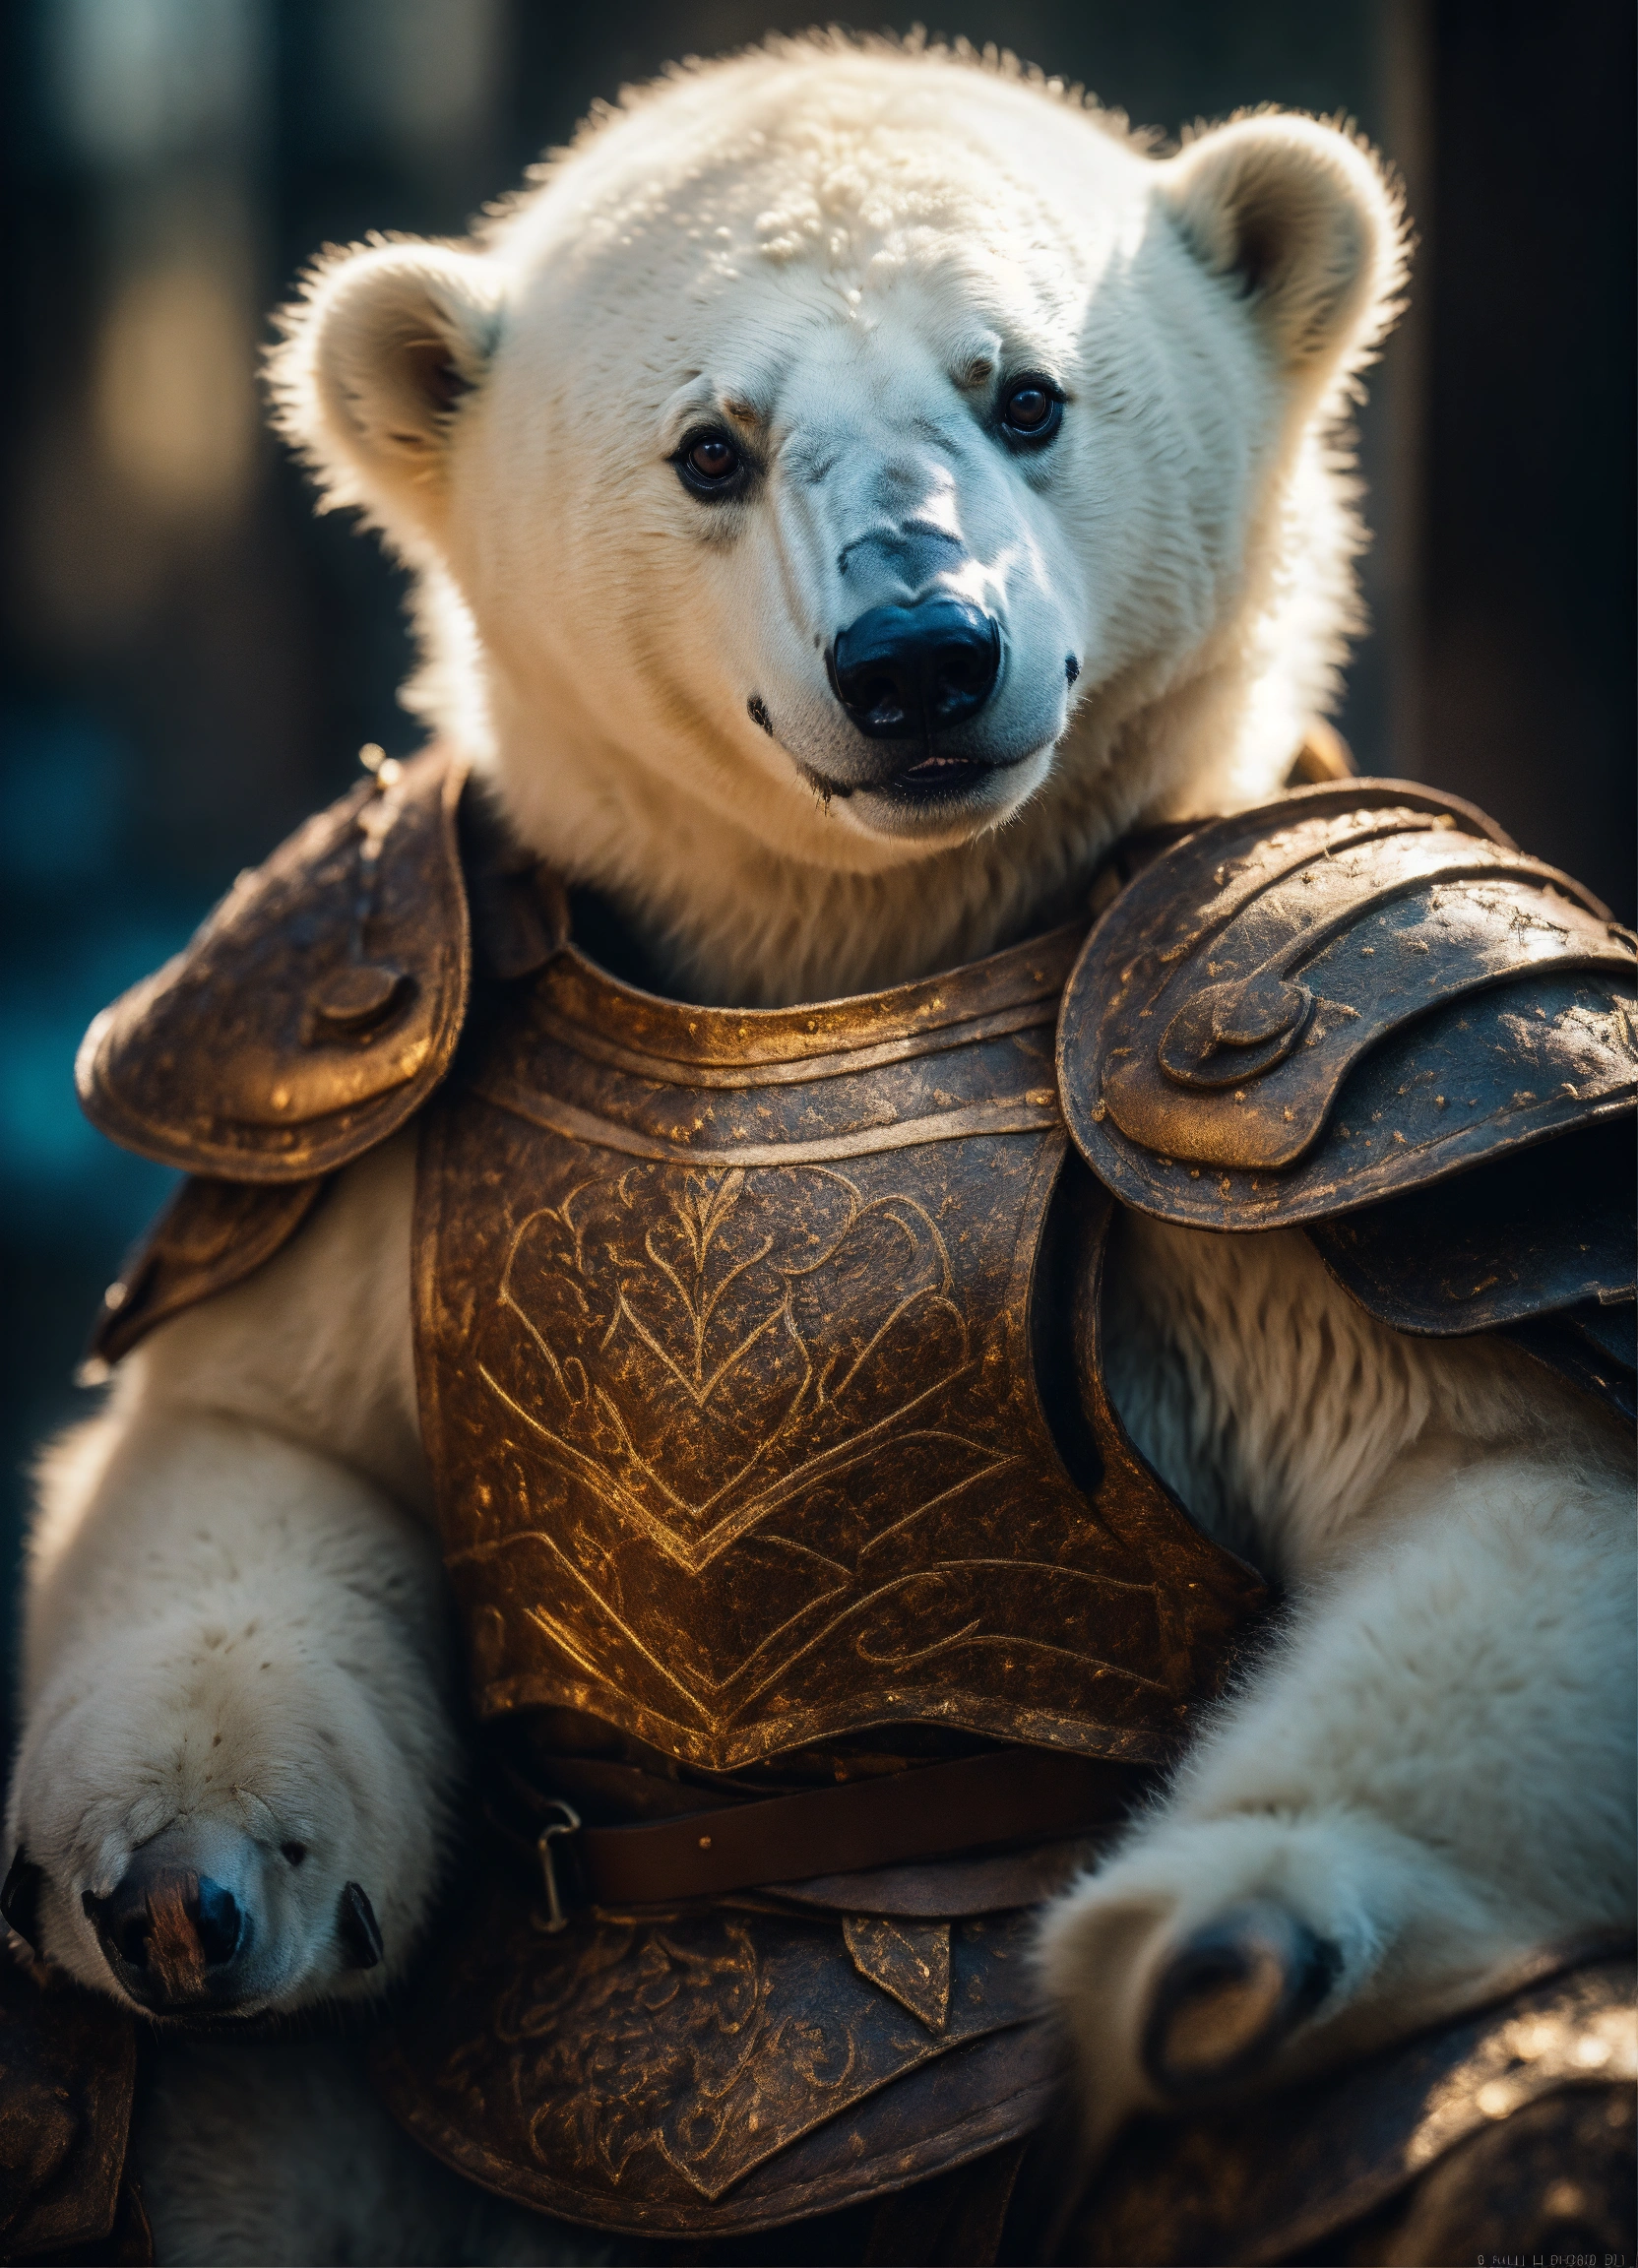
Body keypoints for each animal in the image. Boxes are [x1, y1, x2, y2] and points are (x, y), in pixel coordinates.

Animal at [5, 32, 1633, 2267]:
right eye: (711, 444)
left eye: (1023, 392)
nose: (920, 654)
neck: (857, 941)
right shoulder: (351, 1047)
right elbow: (254, 1442)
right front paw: (191, 1874)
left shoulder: (1325, 1081)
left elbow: (1503, 1490)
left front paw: (1227, 1944)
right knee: (174, 2120)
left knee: (1487, 2130)